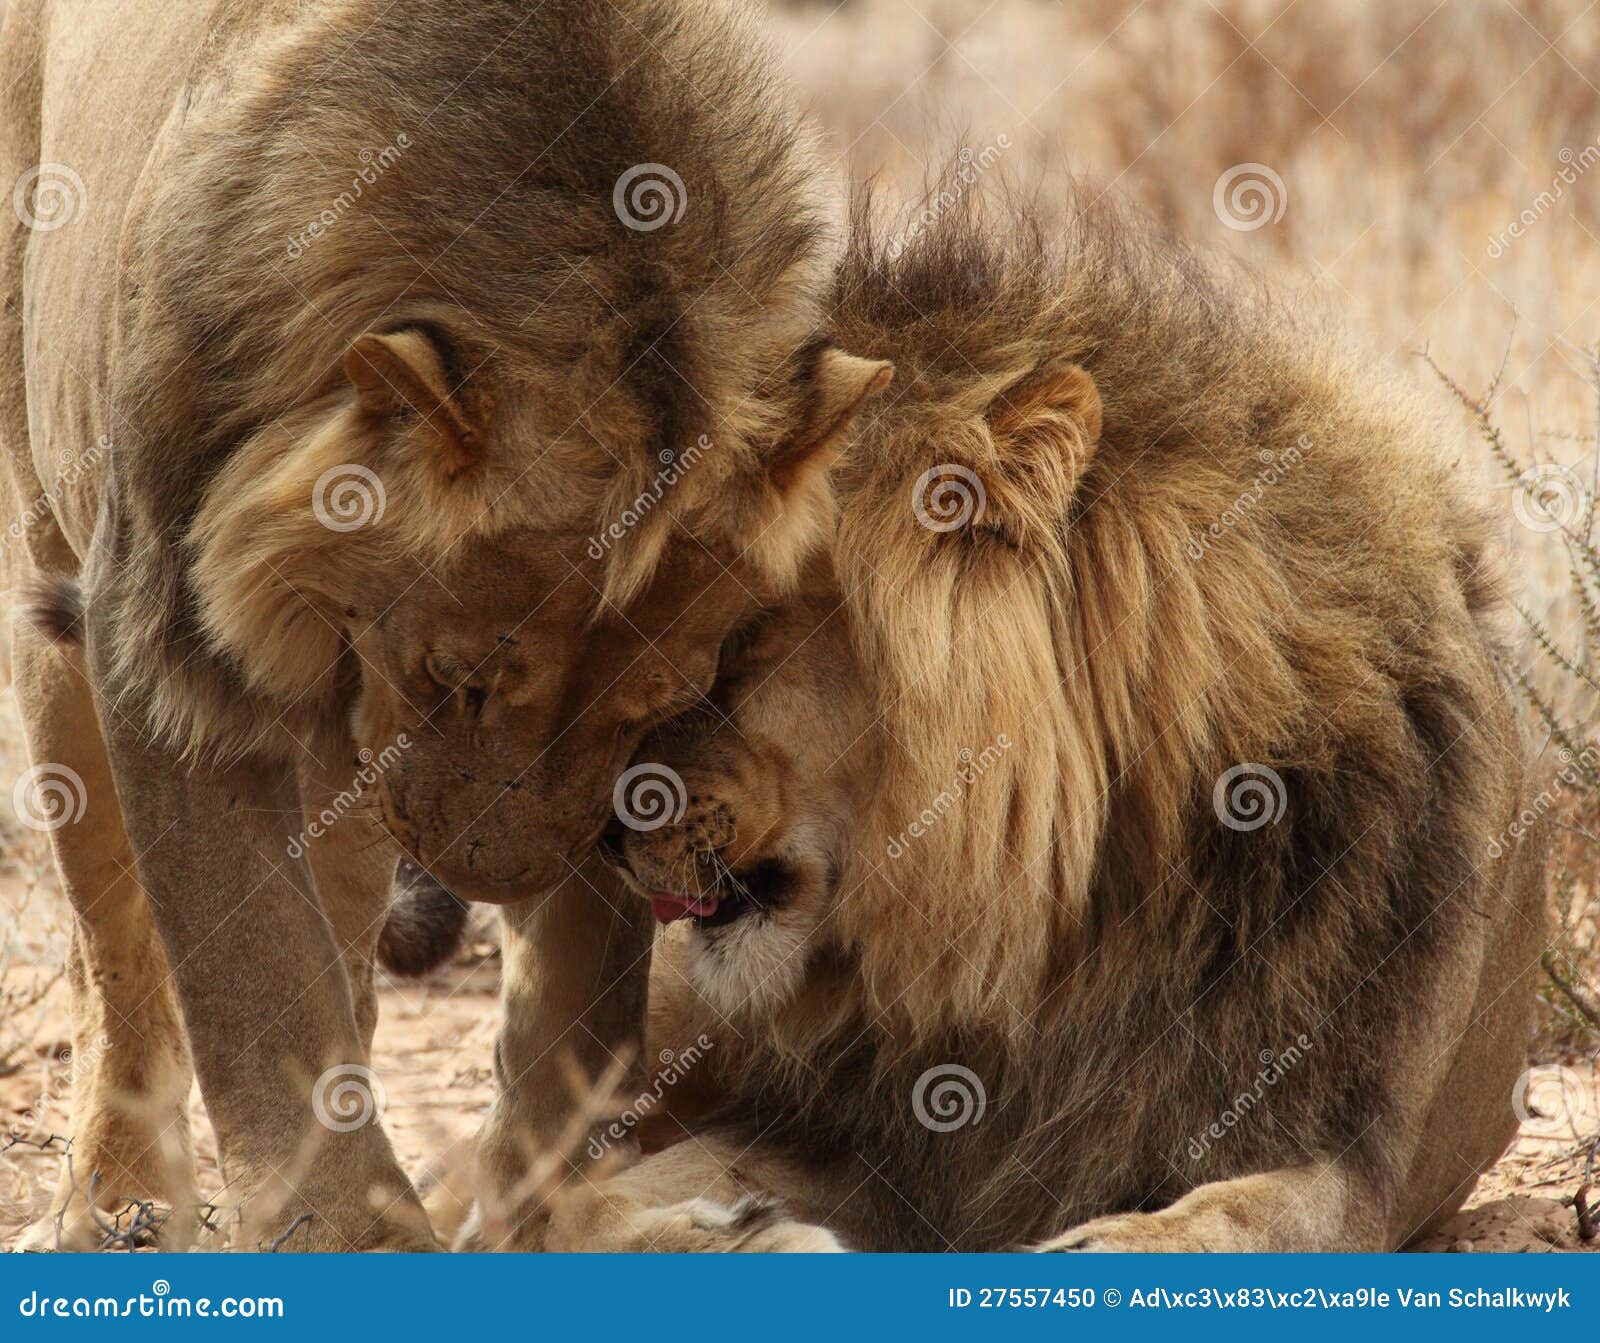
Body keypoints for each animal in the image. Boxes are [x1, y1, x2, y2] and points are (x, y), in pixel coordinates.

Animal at [0, 0, 890, 1251]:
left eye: (657, 706)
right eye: (452, 677)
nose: (493, 874)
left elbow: (573, 1020)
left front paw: (546, 1208)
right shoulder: (163, 652)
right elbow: (258, 978)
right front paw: (352, 1233)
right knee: (114, 948)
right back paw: (110, 1199)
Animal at [546, 193, 1548, 1252]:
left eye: (726, 641)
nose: (601, 830)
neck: (1071, 921)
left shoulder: (1353, 1157)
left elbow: (1238, 1213)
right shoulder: (854, 1130)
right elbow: (579, 1203)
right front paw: (743, 1233)